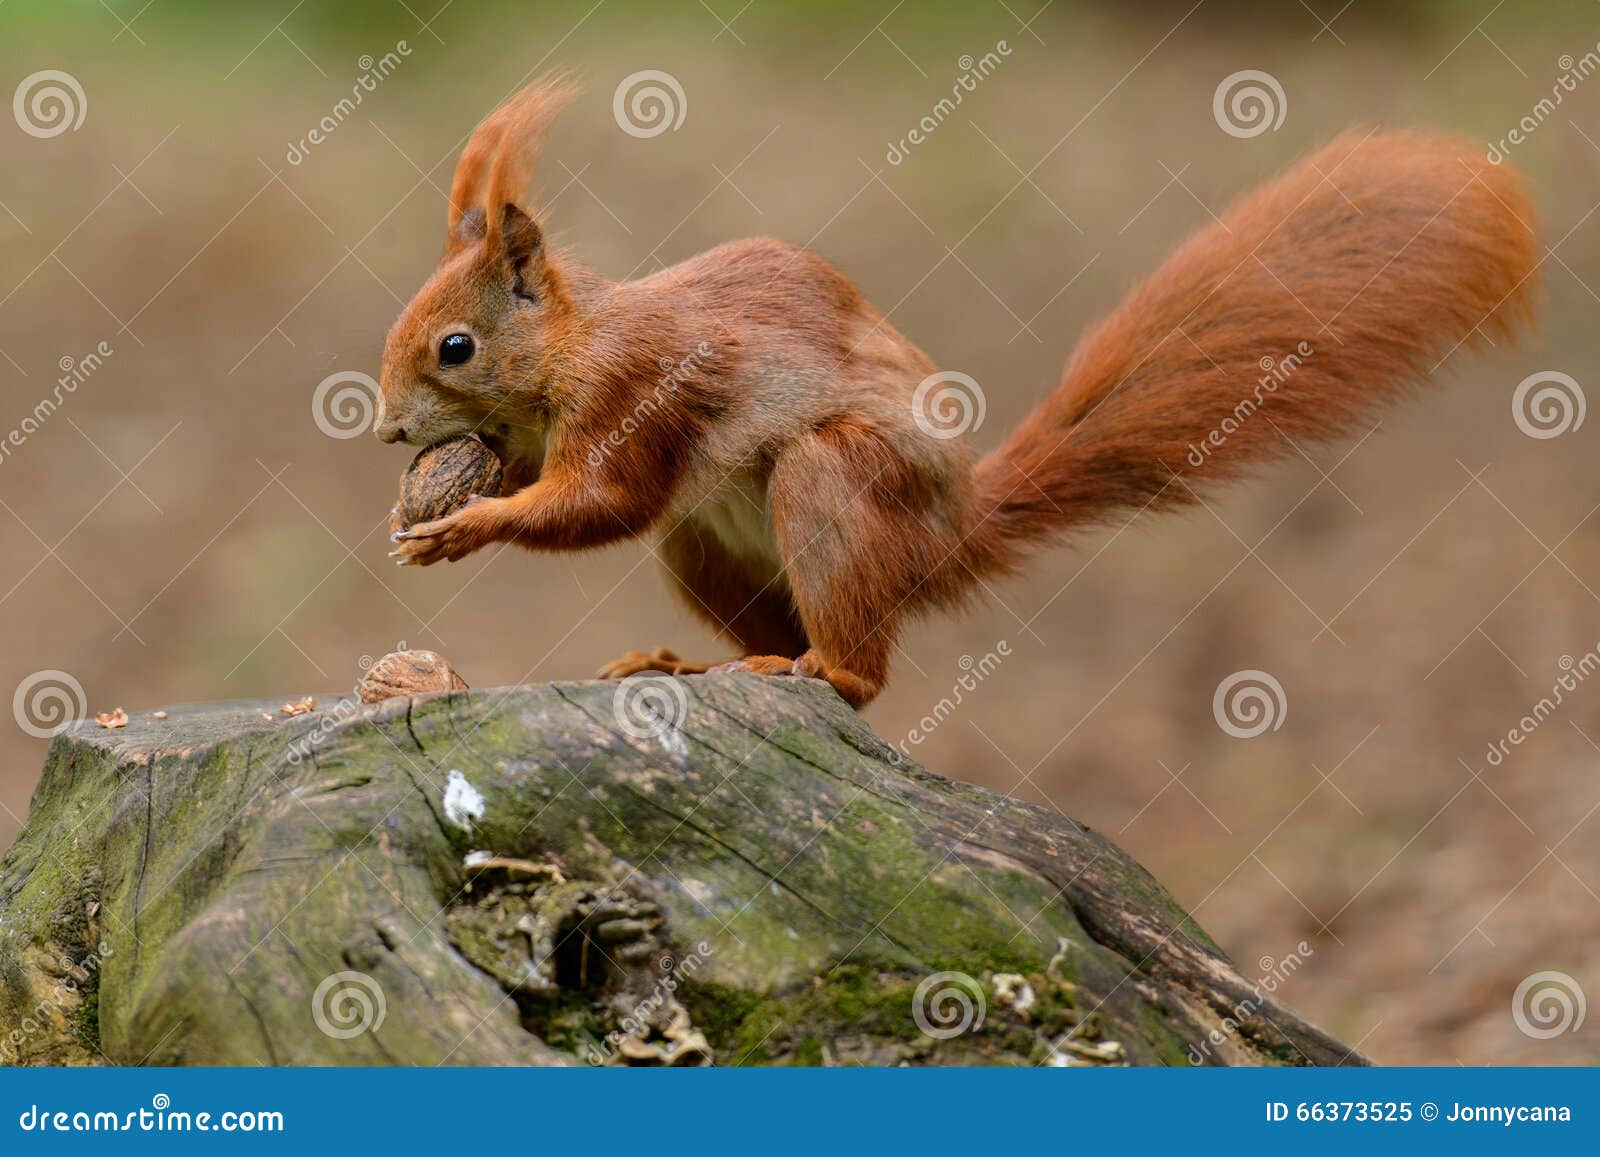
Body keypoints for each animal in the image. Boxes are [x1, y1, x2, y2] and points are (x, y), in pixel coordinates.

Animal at [381, 77, 1538, 709]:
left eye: (455, 346)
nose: (389, 427)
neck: (572, 349)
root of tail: (953, 532)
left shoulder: (636, 390)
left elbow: (603, 502)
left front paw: (462, 525)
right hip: (708, 543)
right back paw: (698, 664)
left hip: (835, 484)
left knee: (862, 670)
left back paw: (820, 673)